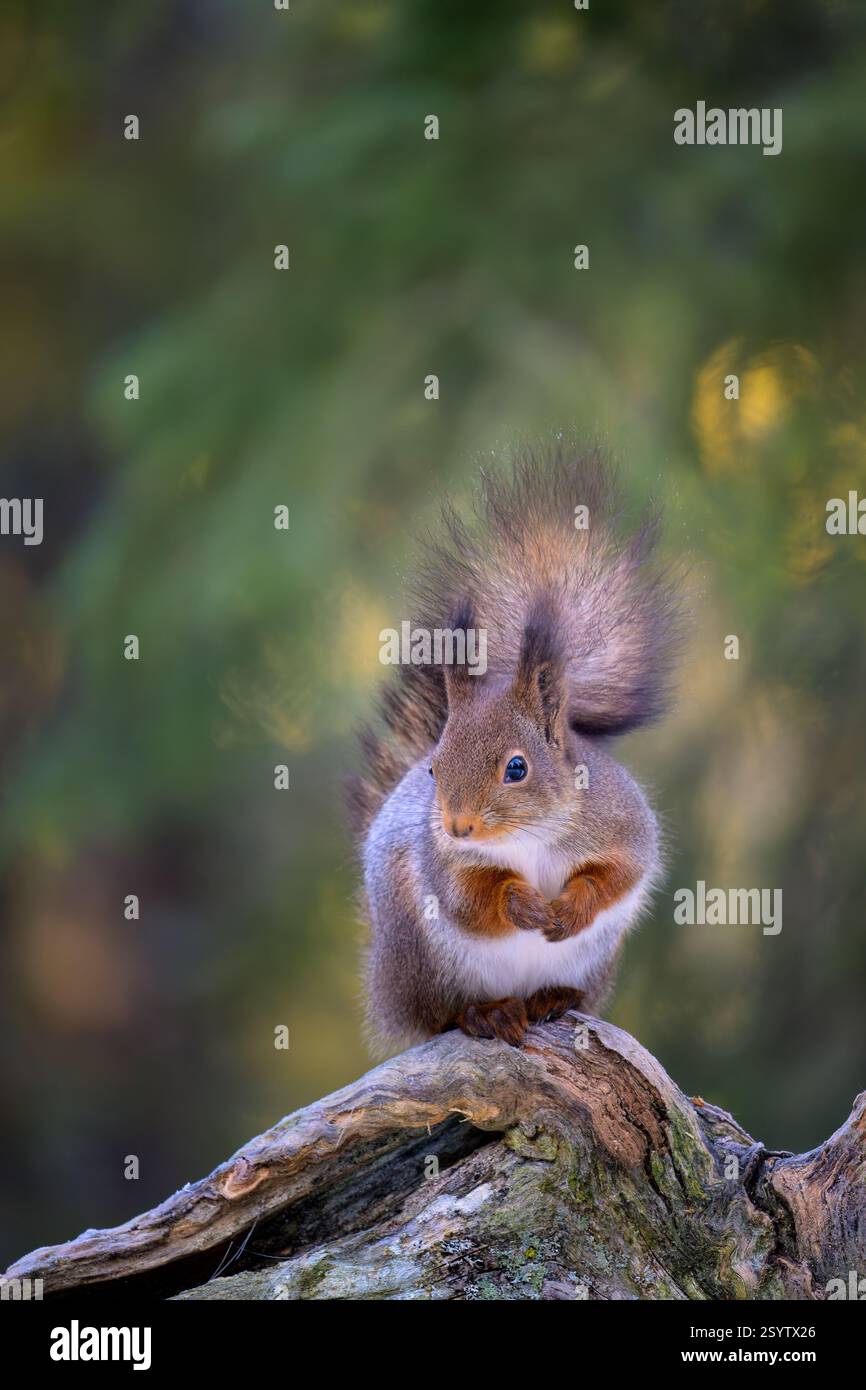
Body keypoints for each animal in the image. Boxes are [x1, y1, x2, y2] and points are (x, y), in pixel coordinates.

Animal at [347, 439, 684, 1051]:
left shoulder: (620, 823)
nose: (457, 827)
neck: (532, 836)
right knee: (442, 1014)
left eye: (517, 768)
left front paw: (571, 907)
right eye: (433, 771)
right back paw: (487, 1013)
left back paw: (552, 997)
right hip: (425, 964)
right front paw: (521, 903)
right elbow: (474, 901)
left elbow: (618, 873)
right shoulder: (444, 865)